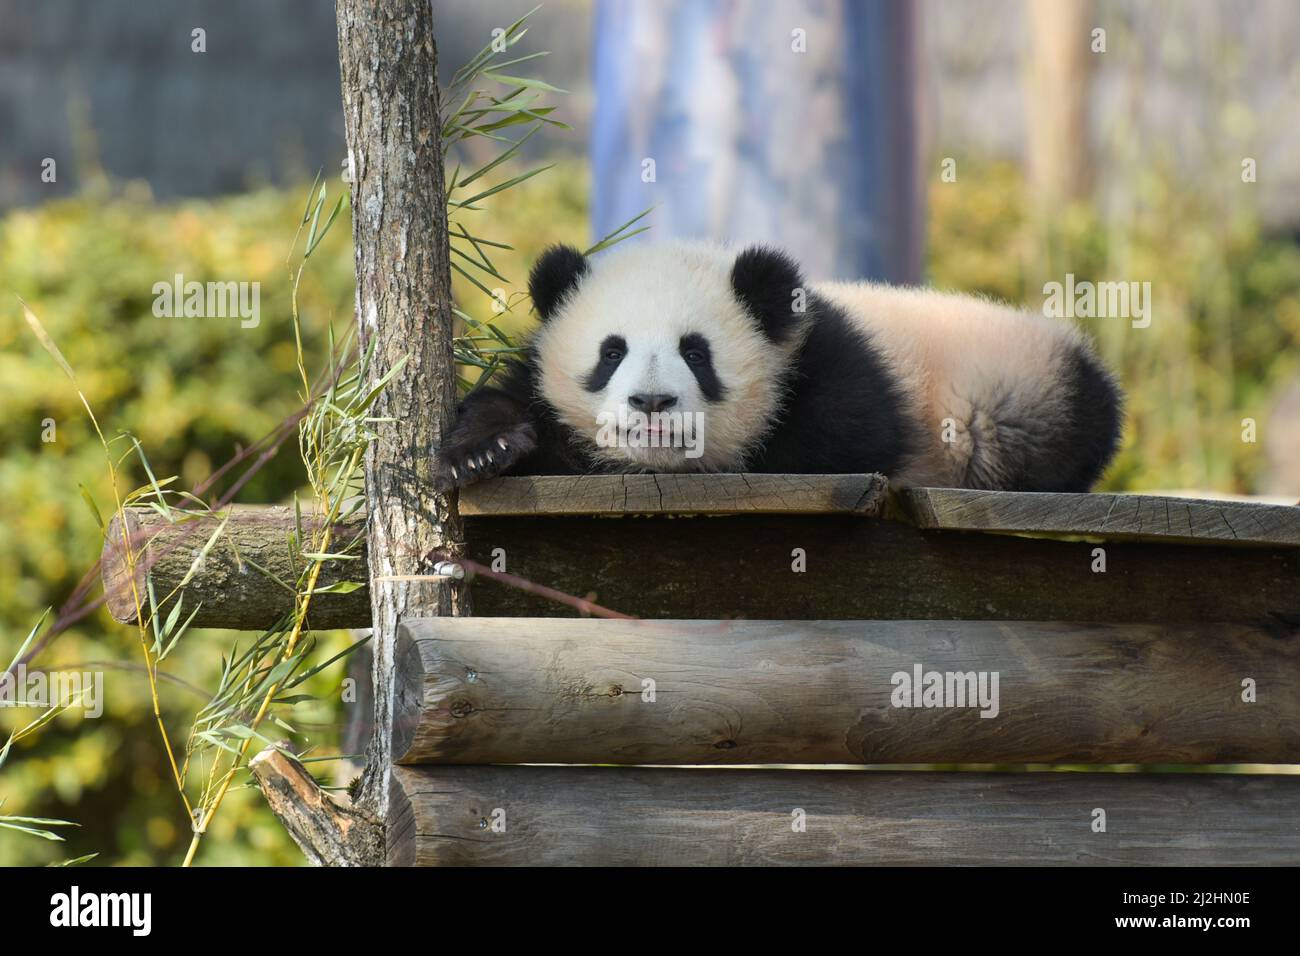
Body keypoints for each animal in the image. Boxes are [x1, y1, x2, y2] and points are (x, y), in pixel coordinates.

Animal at [434, 240, 1123, 493]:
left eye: (696, 352)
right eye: (611, 352)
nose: (652, 403)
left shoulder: (837, 370)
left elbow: (834, 444)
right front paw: (485, 449)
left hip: (1015, 383)